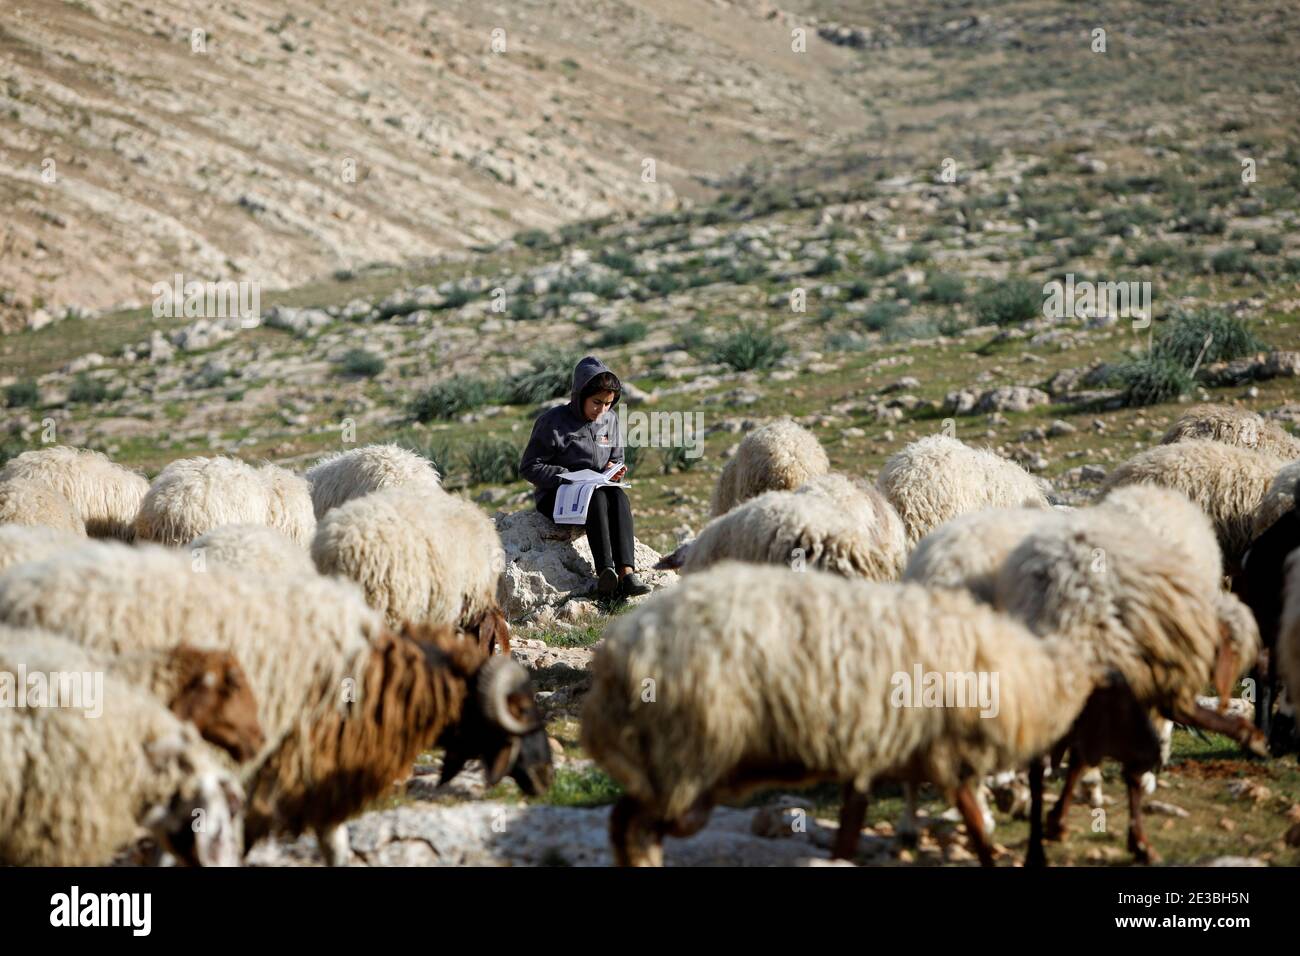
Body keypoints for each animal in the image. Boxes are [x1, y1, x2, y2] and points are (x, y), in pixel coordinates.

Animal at [581, 562, 1118, 866]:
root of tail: (618, 653)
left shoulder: (873, 749)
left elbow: (853, 823)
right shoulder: (939, 750)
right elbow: (971, 816)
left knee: (628, 822)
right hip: (684, 758)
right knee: (631, 825)